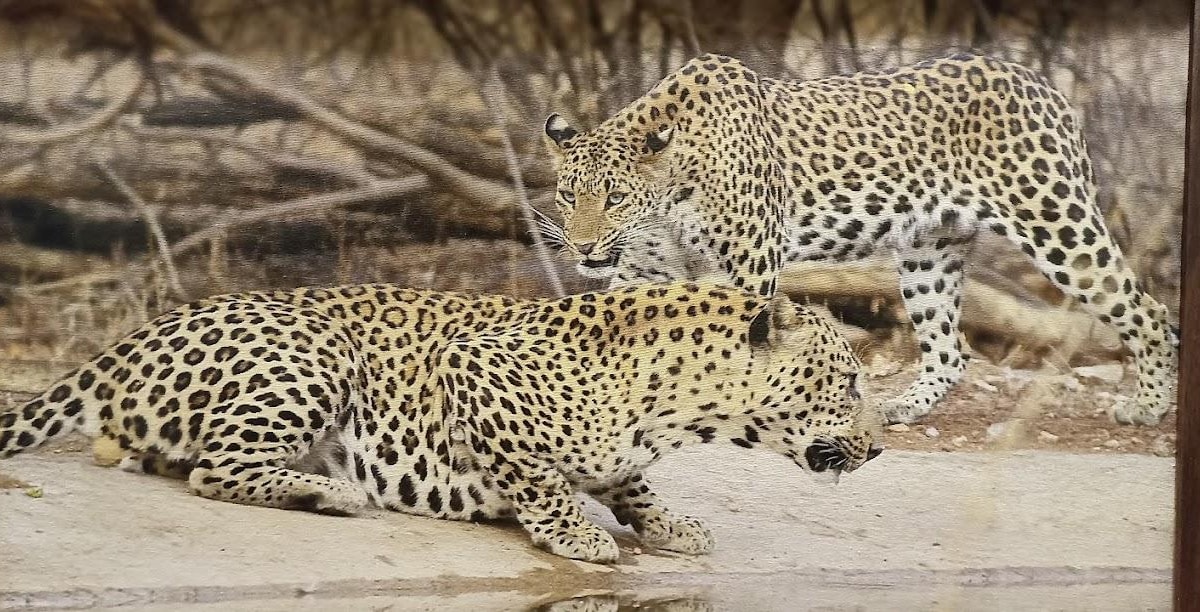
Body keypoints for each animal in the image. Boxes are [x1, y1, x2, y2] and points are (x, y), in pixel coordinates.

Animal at [0, 281, 882, 563]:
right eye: (846, 382)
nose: (877, 450)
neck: (679, 404)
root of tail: (120, 345)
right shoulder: (473, 371)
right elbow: (539, 477)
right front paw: (577, 535)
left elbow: (629, 480)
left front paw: (669, 523)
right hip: (320, 347)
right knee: (217, 467)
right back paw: (333, 492)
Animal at [539, 52, 1178, 427]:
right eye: (569, 195)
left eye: (615, 198)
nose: (581, 247)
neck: (669, 194)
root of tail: (1046, 86)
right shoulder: (641, 272)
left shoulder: (751, 263)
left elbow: (741, 342)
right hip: (928, 251)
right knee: (950, 348)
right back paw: (902, 407)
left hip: (1054, 220)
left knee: (1147, 310)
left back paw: (1149, 406)